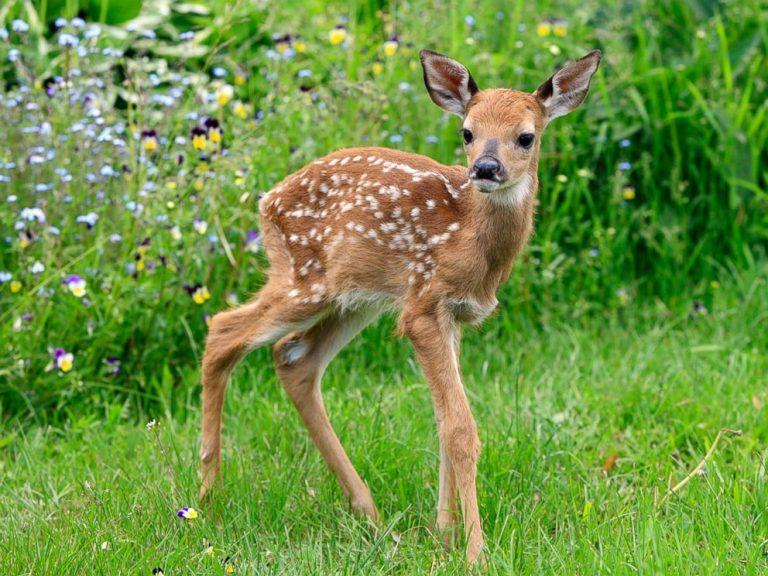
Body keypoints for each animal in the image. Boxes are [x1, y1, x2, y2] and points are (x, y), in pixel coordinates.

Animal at [199, 48, 601, 564]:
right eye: (467, 132)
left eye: (526, 137)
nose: (485, 168)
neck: (469, 238)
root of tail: (266, 202)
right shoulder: (423, 308)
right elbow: (461, 429)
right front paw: (475, 551)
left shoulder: (452, 315)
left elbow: (444, 423)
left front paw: (444, 535)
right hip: (305, 279)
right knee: (223, 330)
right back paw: (209, 497)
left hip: (354, 298)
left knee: (293, 358)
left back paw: (368, 512)